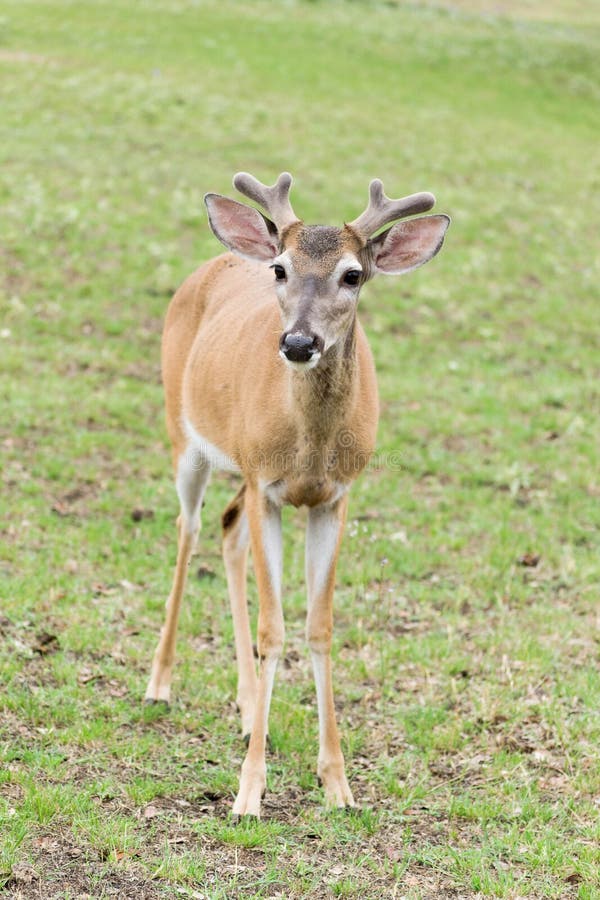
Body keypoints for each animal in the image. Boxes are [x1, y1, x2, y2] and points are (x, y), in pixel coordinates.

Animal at [144, 171, 450, 818]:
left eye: (353, 275)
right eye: (281, 269)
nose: (299, 342)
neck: (310, 446)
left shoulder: (333, 498)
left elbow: (318, 626)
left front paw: (337, 783)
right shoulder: (269, 488)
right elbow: (274, 629)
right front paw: (248, 792)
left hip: (240, 466)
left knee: (228, 529)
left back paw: (243, 706)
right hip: (184, 435)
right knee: (189, 528)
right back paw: (159, 684)